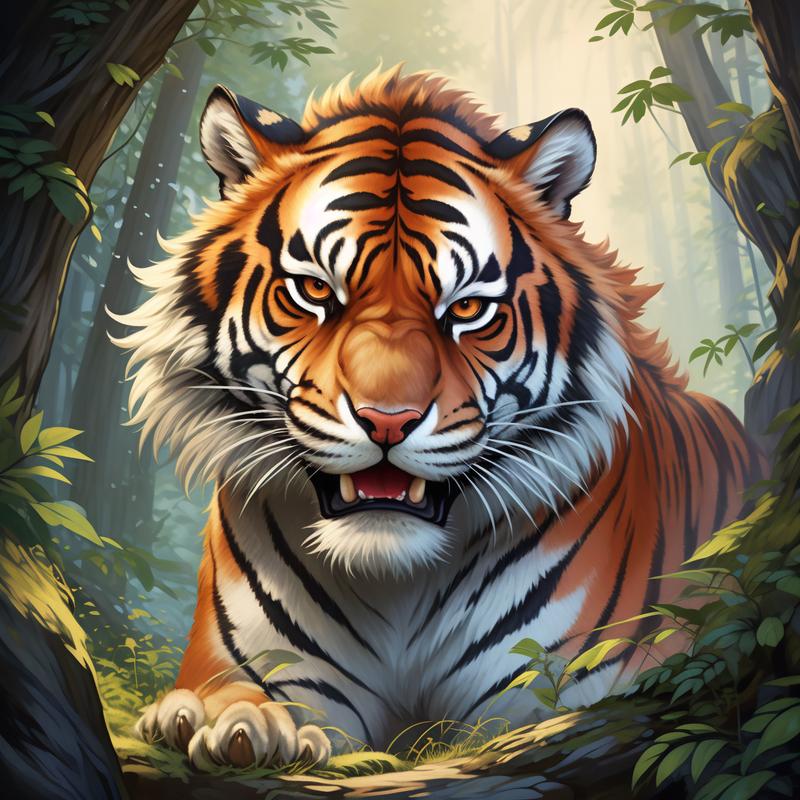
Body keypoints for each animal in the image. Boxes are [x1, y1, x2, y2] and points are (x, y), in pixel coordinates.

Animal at [119, 66, 763, 769]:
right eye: (315, 290)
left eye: (468, 308)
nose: (386, 421)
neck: (395, 583)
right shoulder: (247, 660)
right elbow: (235, 692)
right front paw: (229, 721)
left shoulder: (551, 694)